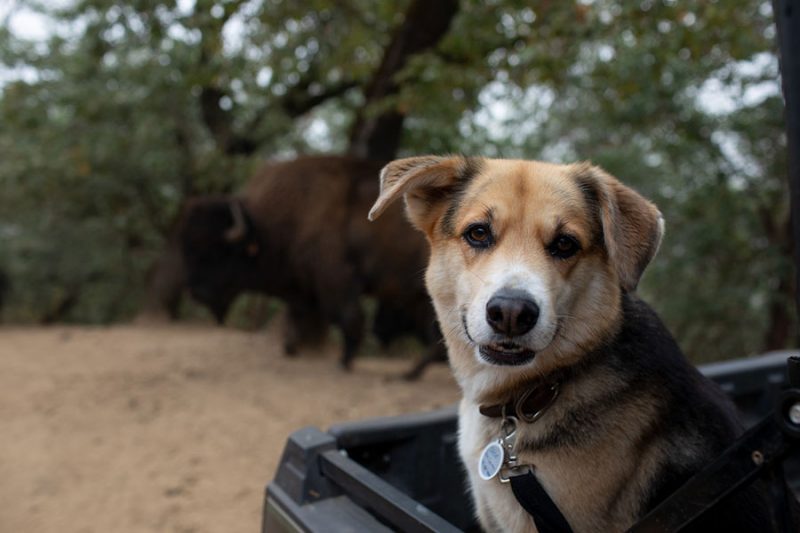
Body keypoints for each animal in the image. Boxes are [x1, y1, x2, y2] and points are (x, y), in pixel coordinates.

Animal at [176, 156, 445, 377]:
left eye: (217, 253)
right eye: (188, 249)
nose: (197, 293)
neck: (264, 227)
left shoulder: (335, 277)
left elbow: (347, 315)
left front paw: (344, 361)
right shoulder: (300, 286)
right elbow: (298, 313)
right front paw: (290, 348)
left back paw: (410, 374)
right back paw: (412, 373)